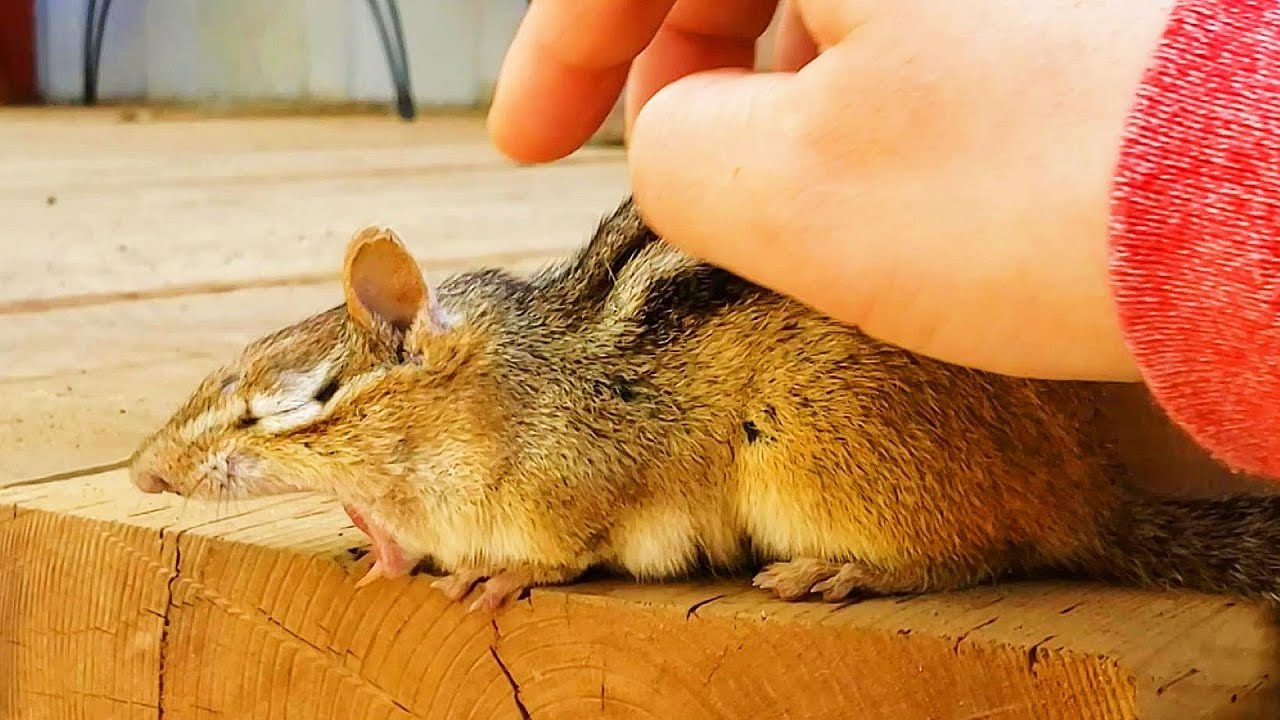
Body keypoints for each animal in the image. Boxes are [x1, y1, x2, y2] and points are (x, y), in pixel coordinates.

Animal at [129, 196, 1280, 612]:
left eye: (294, 402)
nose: (144, 472)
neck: (511, 392)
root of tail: (1093, 496)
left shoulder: (576, 483)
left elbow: (561, 549)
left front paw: (502, 575)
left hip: (816, 454)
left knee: (975, 554)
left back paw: (840, 571)